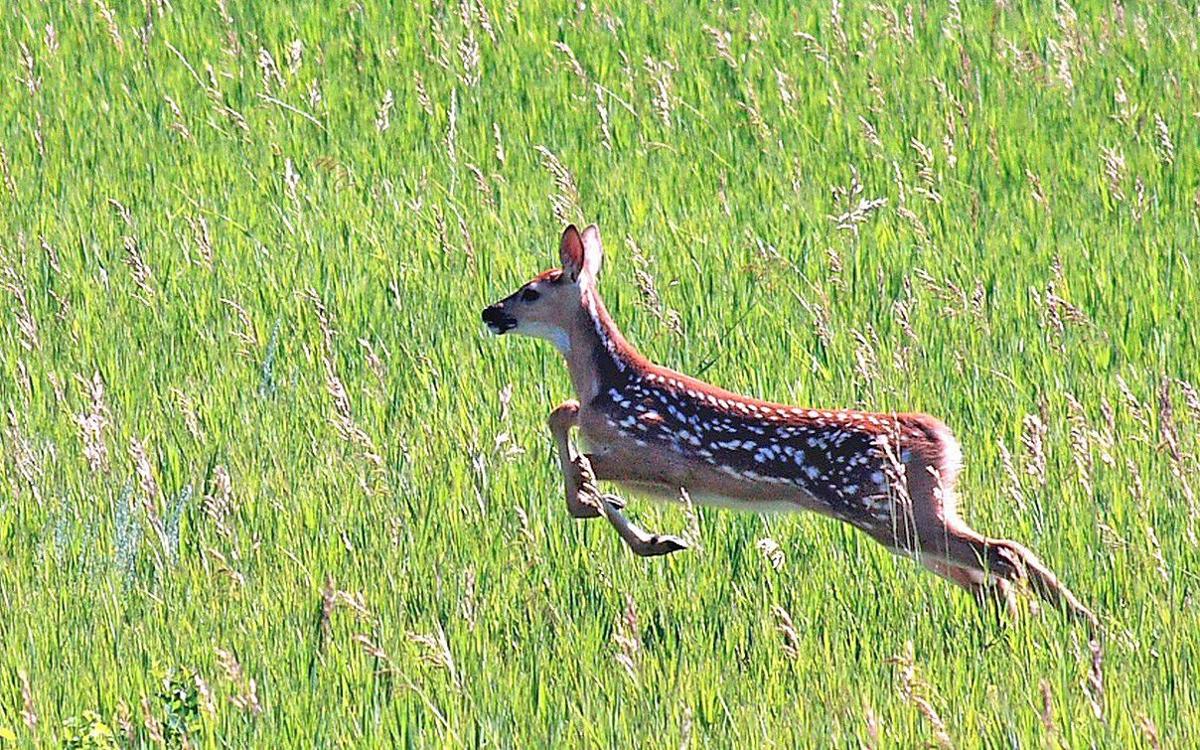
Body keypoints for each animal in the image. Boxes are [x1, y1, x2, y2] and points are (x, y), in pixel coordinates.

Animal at [482, 224, 1098, 631]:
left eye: (531, 290)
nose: (490, 312)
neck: (609, 383)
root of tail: (939, 441)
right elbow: (563, 420)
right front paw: (651, 536)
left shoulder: (655, 453)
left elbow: (580, 463)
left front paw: (628, 524)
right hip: (909, 517)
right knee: (986, 576)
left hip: (887, 509)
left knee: (1003, 555)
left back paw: (1087, 628)